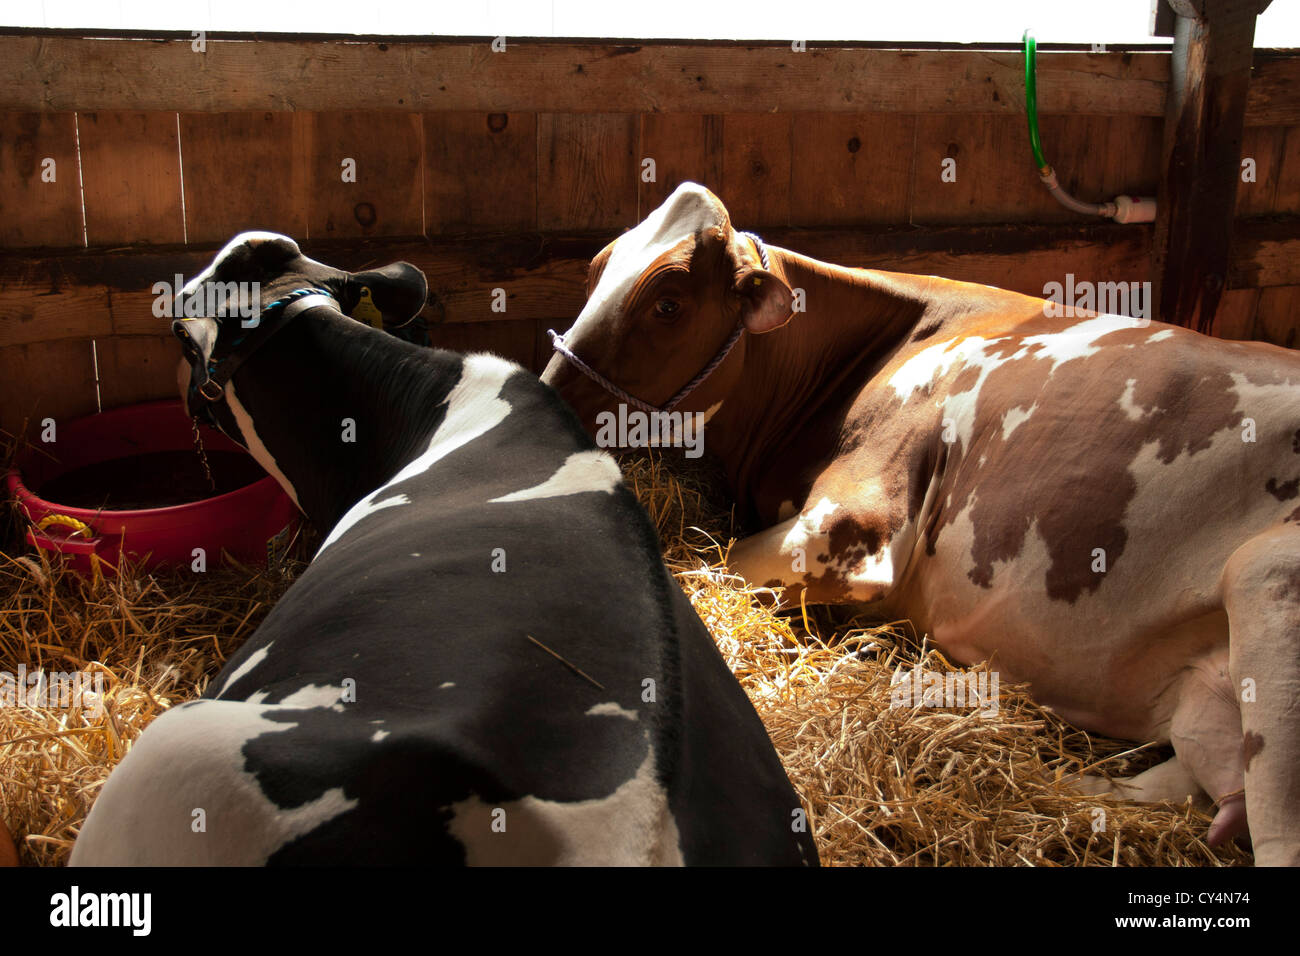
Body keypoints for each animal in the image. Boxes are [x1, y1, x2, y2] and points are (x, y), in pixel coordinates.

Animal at [542, 182, 1300, 866]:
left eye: (668, 302)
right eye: (596, 269)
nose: (545, 400)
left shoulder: (847, 528)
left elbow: (710, 566)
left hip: (1267, 577)